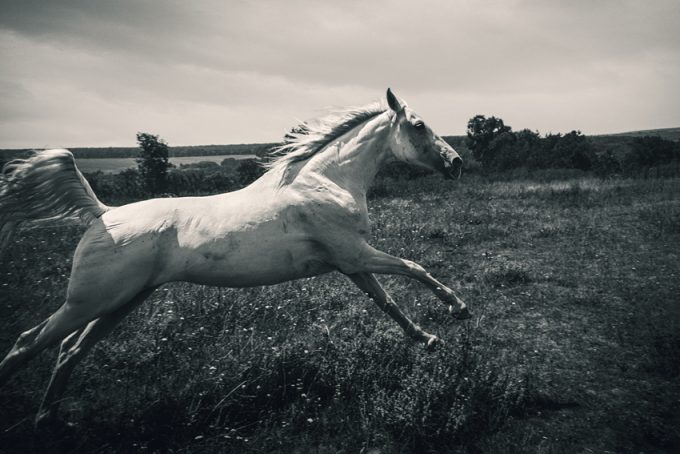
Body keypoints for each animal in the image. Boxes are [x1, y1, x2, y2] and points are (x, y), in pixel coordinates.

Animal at [0, 88, 469, 426]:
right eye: (419, 125)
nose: (457, 162)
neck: (324, 182)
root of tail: (104, 214)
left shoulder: (350, 263)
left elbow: (388, 302)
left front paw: (426, 338)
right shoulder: (357, 255)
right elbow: (415, 269)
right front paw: (458, 309)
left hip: (120, 302)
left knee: (68, 350)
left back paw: (49, 420)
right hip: (89, 301)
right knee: (28, 343)